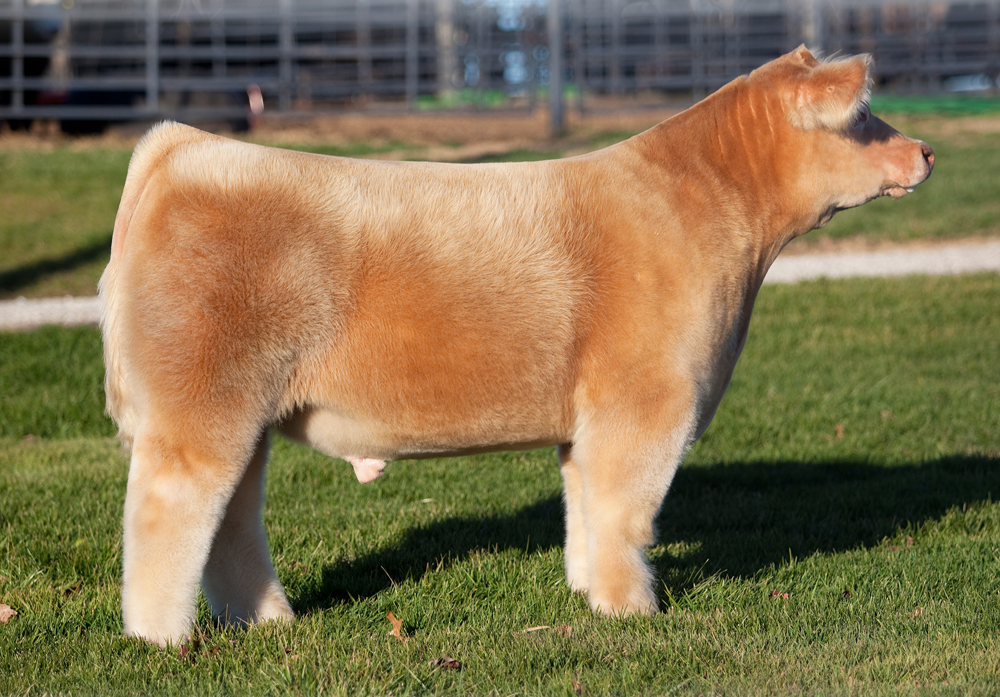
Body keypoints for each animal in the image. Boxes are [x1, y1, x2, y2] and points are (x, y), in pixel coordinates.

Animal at [100, 46, 934, 646]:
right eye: (864, 116)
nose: (926, 152)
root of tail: (186, 148)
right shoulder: (649, 402)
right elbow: (627, 511)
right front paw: (633, 609)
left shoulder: (589, 421)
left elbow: (585, 507)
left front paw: (589, 593)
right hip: (200, 408)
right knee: (168, 513)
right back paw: (160, 637)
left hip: (241, 413)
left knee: (231, 521)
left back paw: (266, 619)